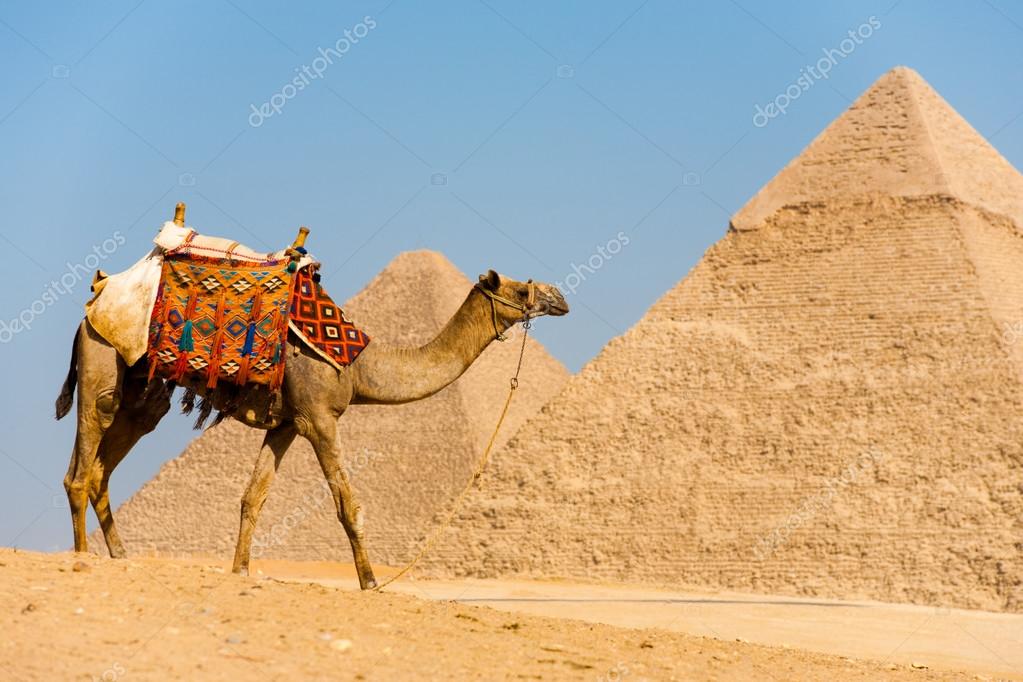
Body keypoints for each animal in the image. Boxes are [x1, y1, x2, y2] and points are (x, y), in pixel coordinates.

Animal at [56, 262, 568, 589]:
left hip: (143, 396)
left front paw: (240, 571)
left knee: (102, 468)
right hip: (102, 361)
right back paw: (81, 557)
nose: (560, 297)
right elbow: (348, 504)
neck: (361, 366)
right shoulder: (319, 418)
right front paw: (370, 580)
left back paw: (120, 556)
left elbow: (252, 498)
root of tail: (91, 306)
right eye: (521, 290)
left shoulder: (285, 423)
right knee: (80, 468)